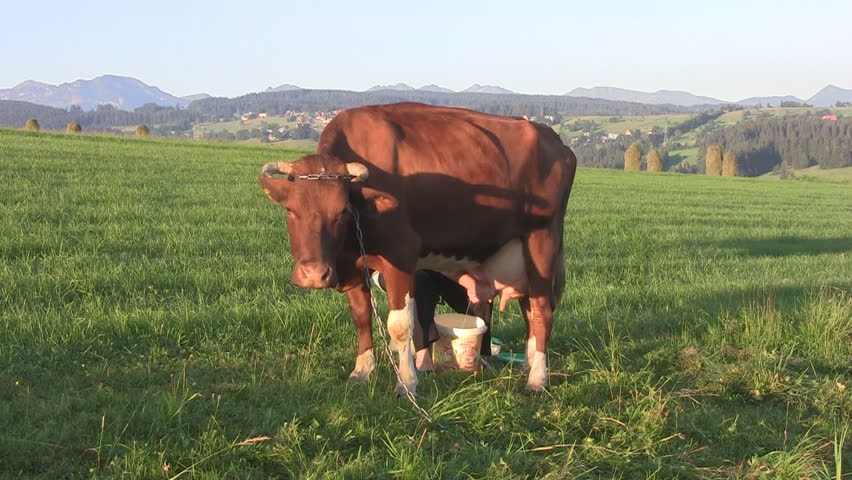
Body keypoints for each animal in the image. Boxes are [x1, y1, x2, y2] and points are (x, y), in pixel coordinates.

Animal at [258, 102, 577, 394]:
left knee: (542, 312)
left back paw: (537, 379)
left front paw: (407, 382)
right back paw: (528, 366)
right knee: (529, 311)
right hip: (522, 259)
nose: (314, 275)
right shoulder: (353, 264)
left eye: (342, 211)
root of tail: (557, 142)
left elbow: (400, 326)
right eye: (290, 209)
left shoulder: (401, 254)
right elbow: (361, 317)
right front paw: (362, 370)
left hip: (542, 244)